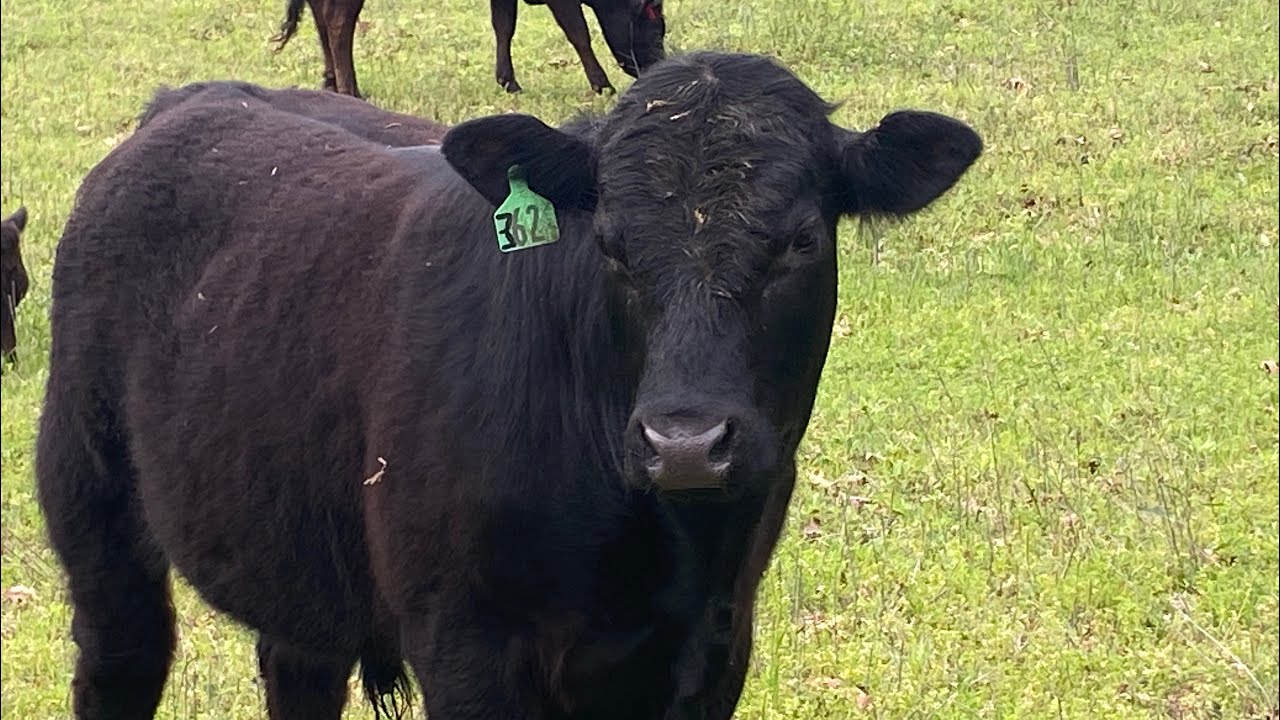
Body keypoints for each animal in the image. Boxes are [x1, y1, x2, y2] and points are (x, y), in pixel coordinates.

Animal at [37, 51, 981, 719]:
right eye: (609, 241)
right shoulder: (468, 647)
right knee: (119, 663)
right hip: (93, 513)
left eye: (801, 242)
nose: (684, 444)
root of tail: (188, 100)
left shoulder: (714, 647)